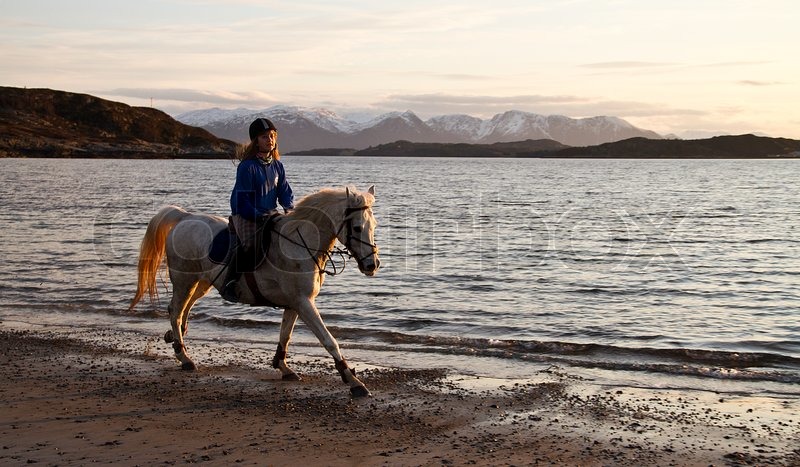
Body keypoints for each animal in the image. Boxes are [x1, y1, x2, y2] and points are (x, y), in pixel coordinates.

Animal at [129, 186, 380, 397]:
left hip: (202, 282)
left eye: (374, 226)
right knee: (176, 311)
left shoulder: (295, 303)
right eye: (357, 227)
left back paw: (175, 337)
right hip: (184, 280)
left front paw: (283, 367)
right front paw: (354, 382)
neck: (300, 244)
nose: (372, 265)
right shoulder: (304, 303)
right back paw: (184, 357)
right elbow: (329, 341)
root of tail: (184, 217)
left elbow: (285, 336)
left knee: (182, 309)